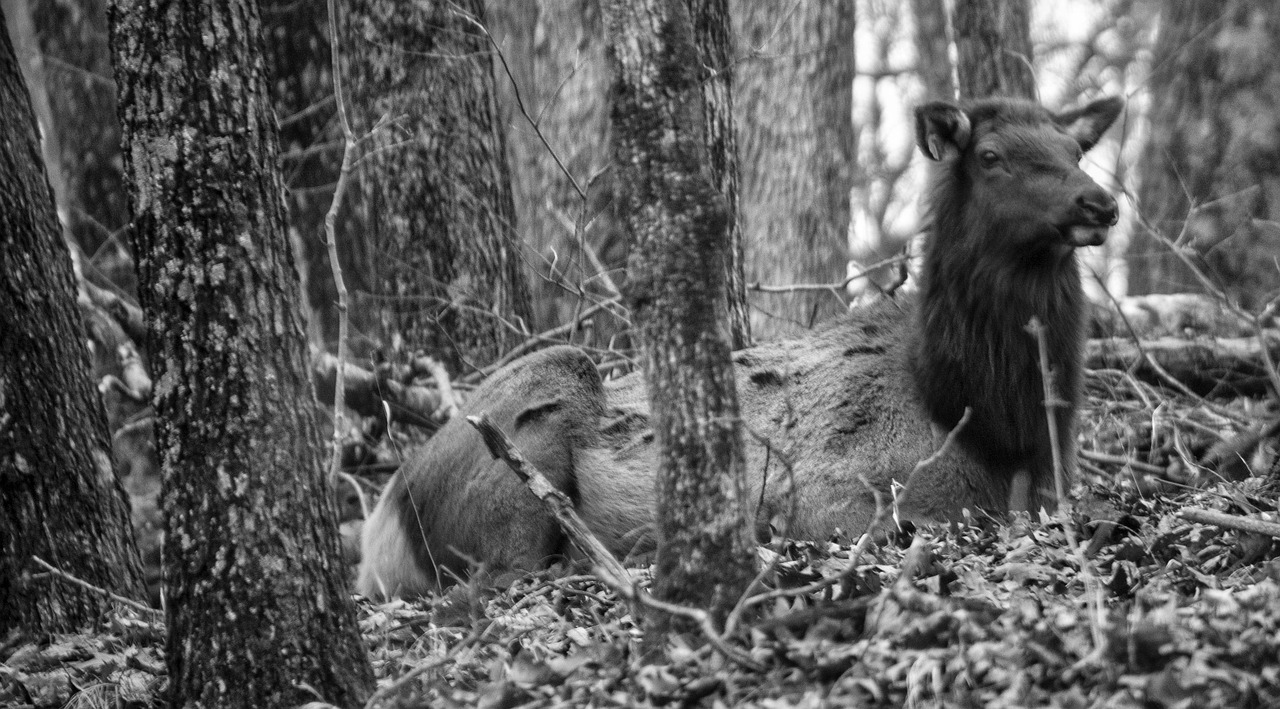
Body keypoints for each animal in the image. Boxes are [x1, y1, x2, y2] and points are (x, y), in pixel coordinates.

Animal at [357, 95, 1123, 600]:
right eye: (992, 157)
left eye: (1076, 150)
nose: (1101, 202)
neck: (991, 418)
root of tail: (382, 516)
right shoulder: (841, 497)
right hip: (531, 418)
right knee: (488, 580)